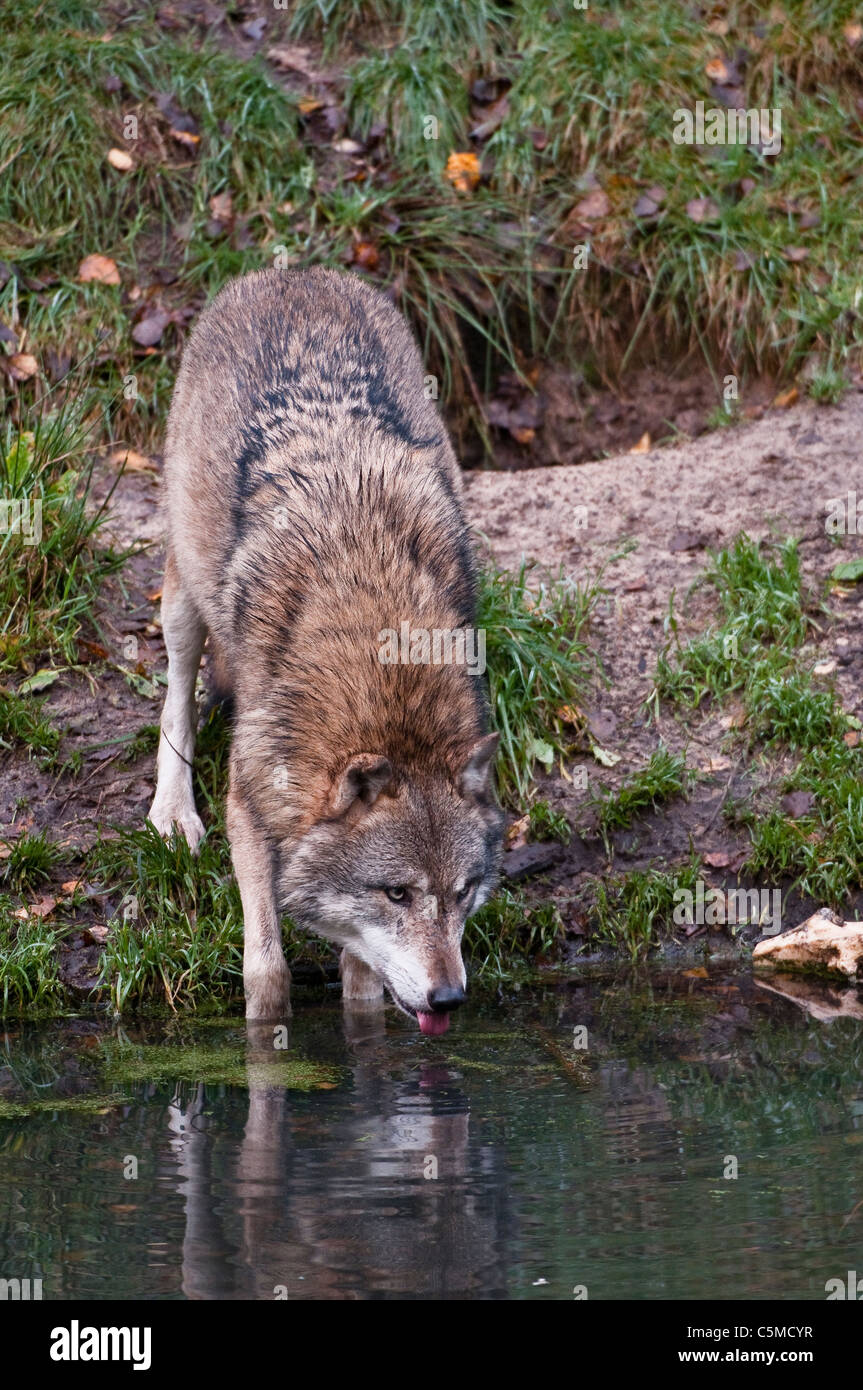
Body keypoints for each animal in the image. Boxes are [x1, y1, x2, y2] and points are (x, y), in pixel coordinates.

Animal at [148, 267, 503, 1032]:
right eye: (396, 893)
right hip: (184, 590)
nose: (450, 998)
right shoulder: (250, 808)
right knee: (177, 686)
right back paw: (171, 811)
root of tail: (291, 271)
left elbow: (363, 987)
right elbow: (268, 971)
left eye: (461, 891)